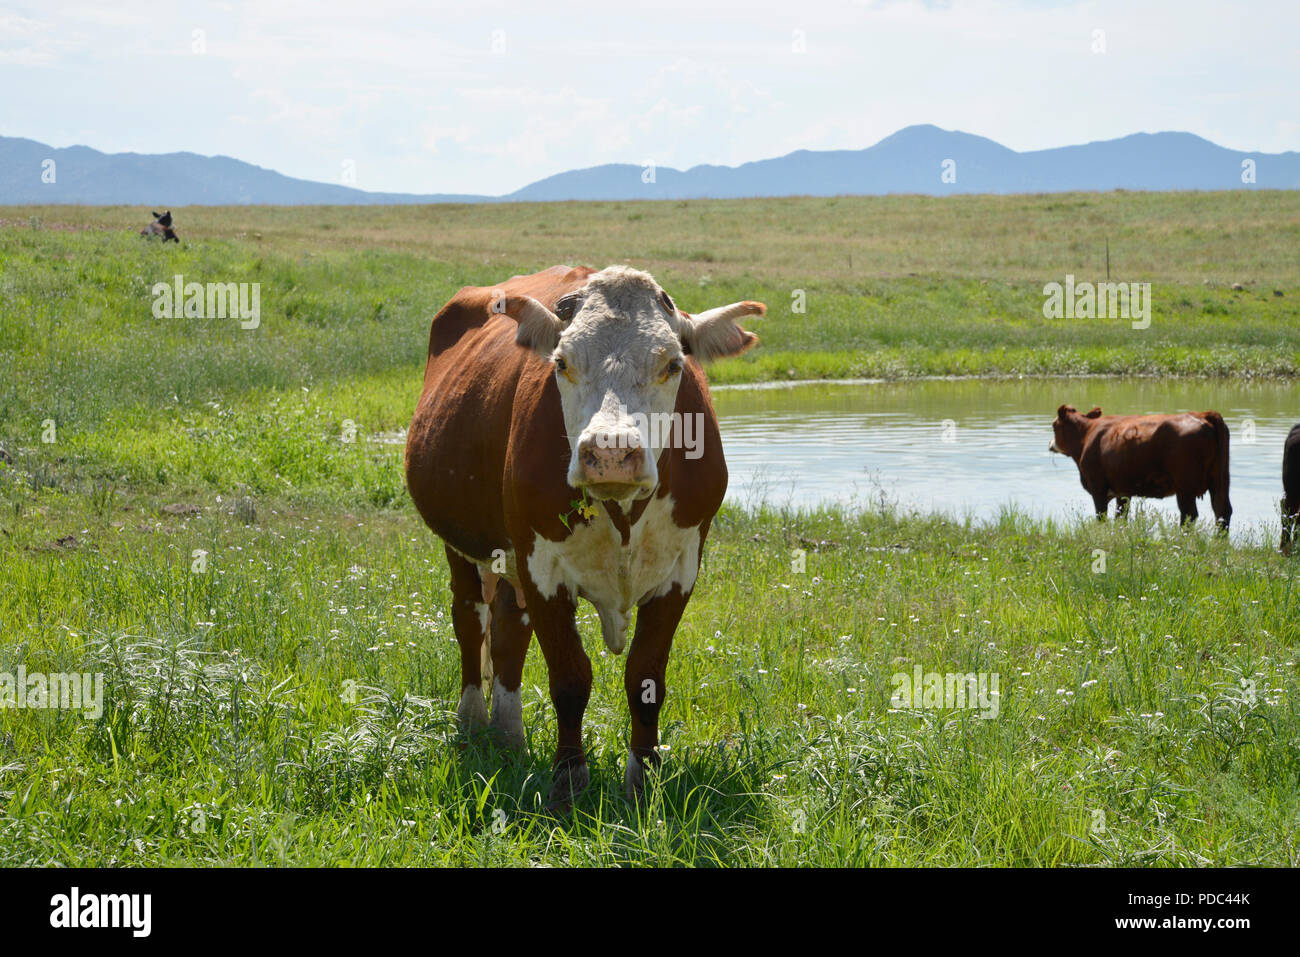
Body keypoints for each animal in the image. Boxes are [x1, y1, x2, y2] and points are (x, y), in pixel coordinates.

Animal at [405, 265, 764, 806]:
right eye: (562, 362)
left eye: (672, 364)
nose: (611, 452)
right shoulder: (542, 569)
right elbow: (570, 678)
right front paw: (568, 781)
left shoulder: (680, 571)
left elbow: (645, 678)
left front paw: (643, 781)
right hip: (463, 545)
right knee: (470, 621)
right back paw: (472, 723)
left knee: (508, 631)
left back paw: (508, 734)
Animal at [1049, 405, 1231, 528]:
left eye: (1053, 425)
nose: (1051, 444)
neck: (1086, 434)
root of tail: (1202, 414)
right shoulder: (1122, 491)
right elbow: (1120, 516)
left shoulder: (1097, 486)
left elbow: (1101, 516)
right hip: (1219, 479)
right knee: (1222, 510)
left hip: (1185, 486)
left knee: (1189, 515)